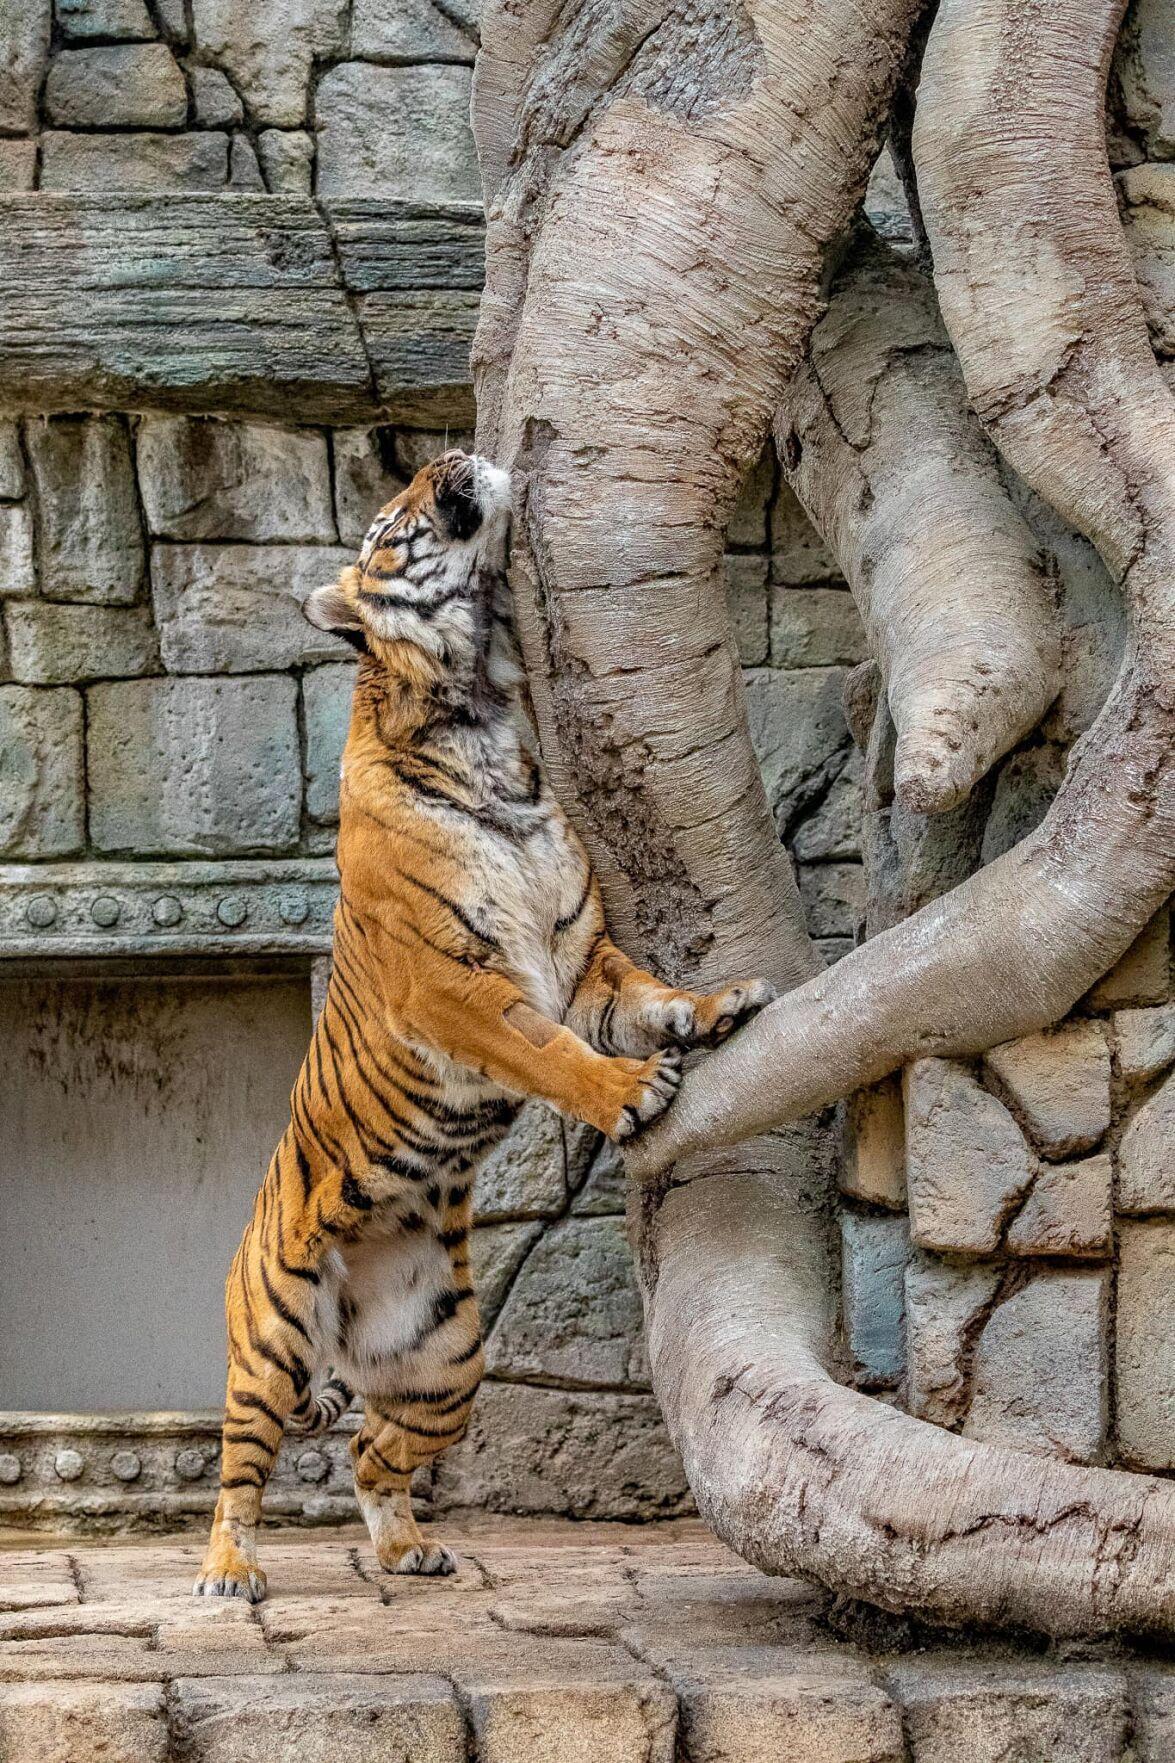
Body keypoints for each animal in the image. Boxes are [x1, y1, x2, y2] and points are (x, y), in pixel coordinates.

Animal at [193, 449, 774, 1602]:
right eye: (391, 523)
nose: (448, 458)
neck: (484, 716)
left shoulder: (579, 956)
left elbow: (648, 994)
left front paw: (716, 1005)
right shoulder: (456, 986)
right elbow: (549, 1053)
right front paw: (631, 1090)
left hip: (448, 1358)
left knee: (371, 1452)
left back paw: (406, 1549)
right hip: (272, 1339)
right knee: (240, 1470)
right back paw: (231, 1571)